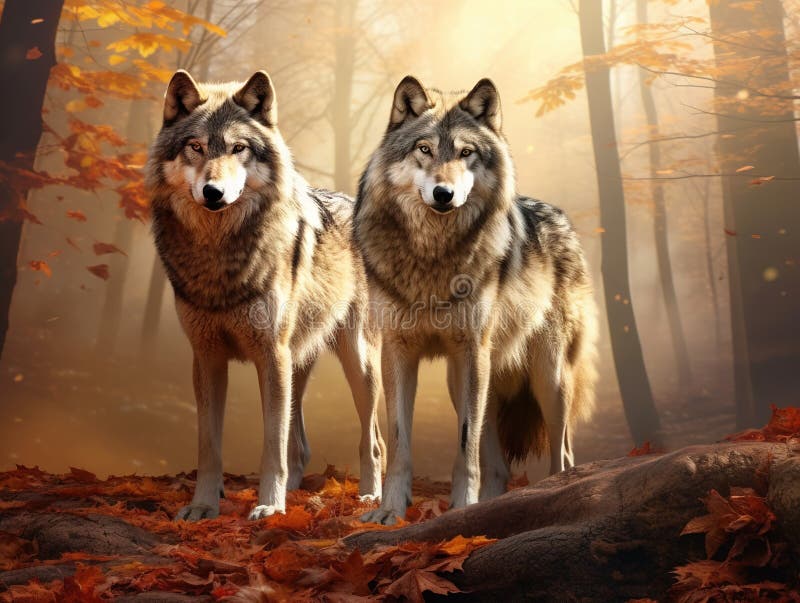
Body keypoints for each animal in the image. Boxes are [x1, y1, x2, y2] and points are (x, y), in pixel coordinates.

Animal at [146, 70, 385, 521]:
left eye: (238, 148)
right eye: (195, 147)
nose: (213, 192)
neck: (219, 256)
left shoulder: (270, 355)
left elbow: (271, 444)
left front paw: (269, 507)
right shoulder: (206, 357)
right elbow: (209, 446)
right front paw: (203, 505)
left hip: (356, 363)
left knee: (374, 441)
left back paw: (369, 498)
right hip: (297, 365)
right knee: (301, 446)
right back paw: (294, 494)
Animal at [355, 76, 598, 524]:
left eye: (466, 153)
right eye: (424, 149)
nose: (443, 193)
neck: (432, 258)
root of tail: (561, 218)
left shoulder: (471, 350)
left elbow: (465, 447)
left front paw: (461, 508)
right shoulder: (397, 352)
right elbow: (399, 443)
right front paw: (390, 510)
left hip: (547, 378)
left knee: (564, 453)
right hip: (467, 379)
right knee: (499, 465)